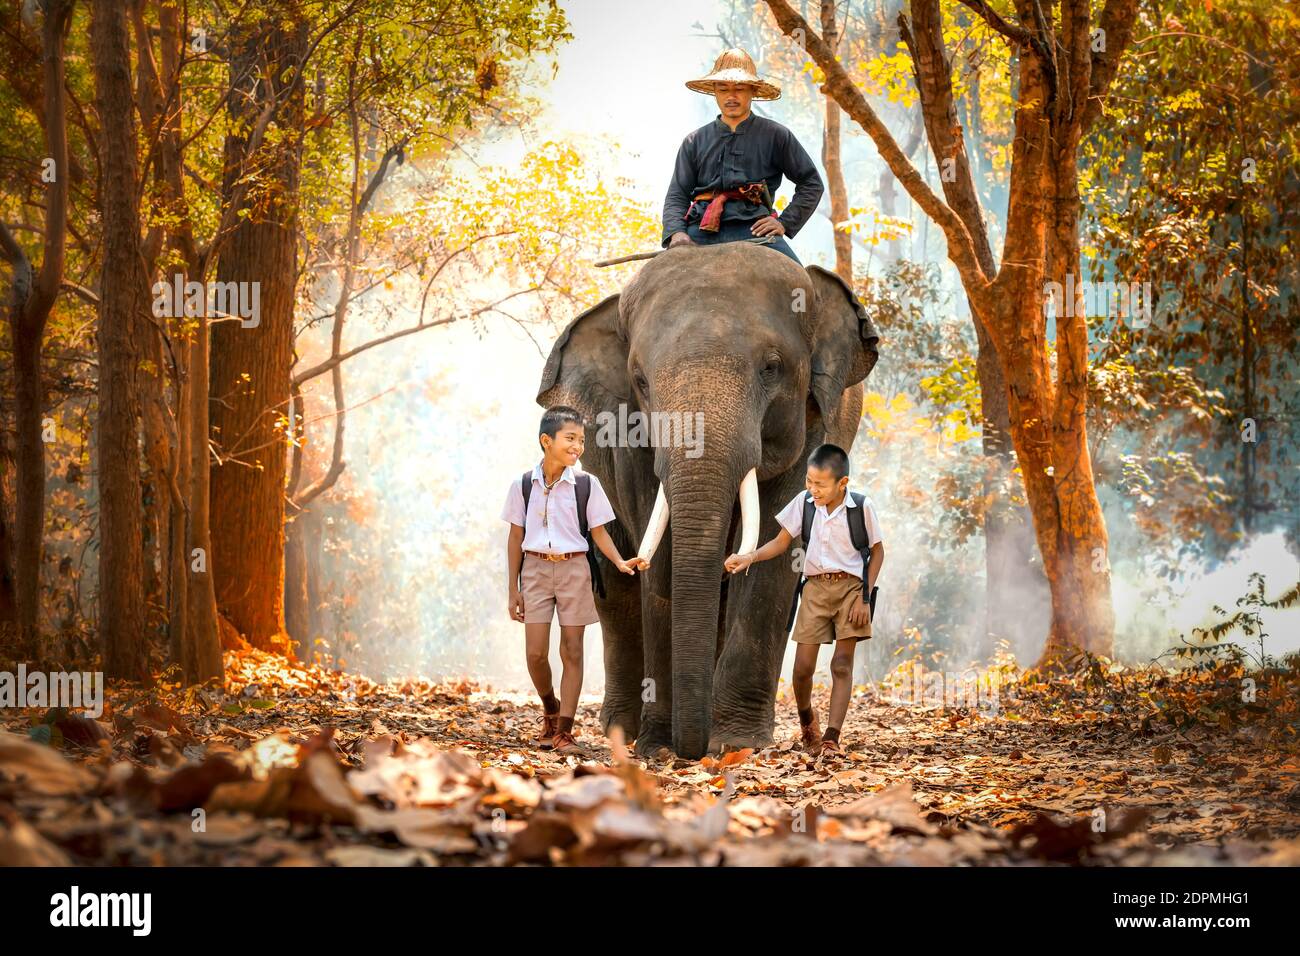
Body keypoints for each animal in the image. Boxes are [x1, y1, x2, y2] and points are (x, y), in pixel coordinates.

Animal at [537, 241, 880, 759]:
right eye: (640, 380)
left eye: (772, 367)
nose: (690, 750)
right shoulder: (626, 435)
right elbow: (657, 554)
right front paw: (656, 746)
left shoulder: (818, 419)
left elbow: (775, 555)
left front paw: (736, 742)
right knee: (614, 593)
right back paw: (621, 729)